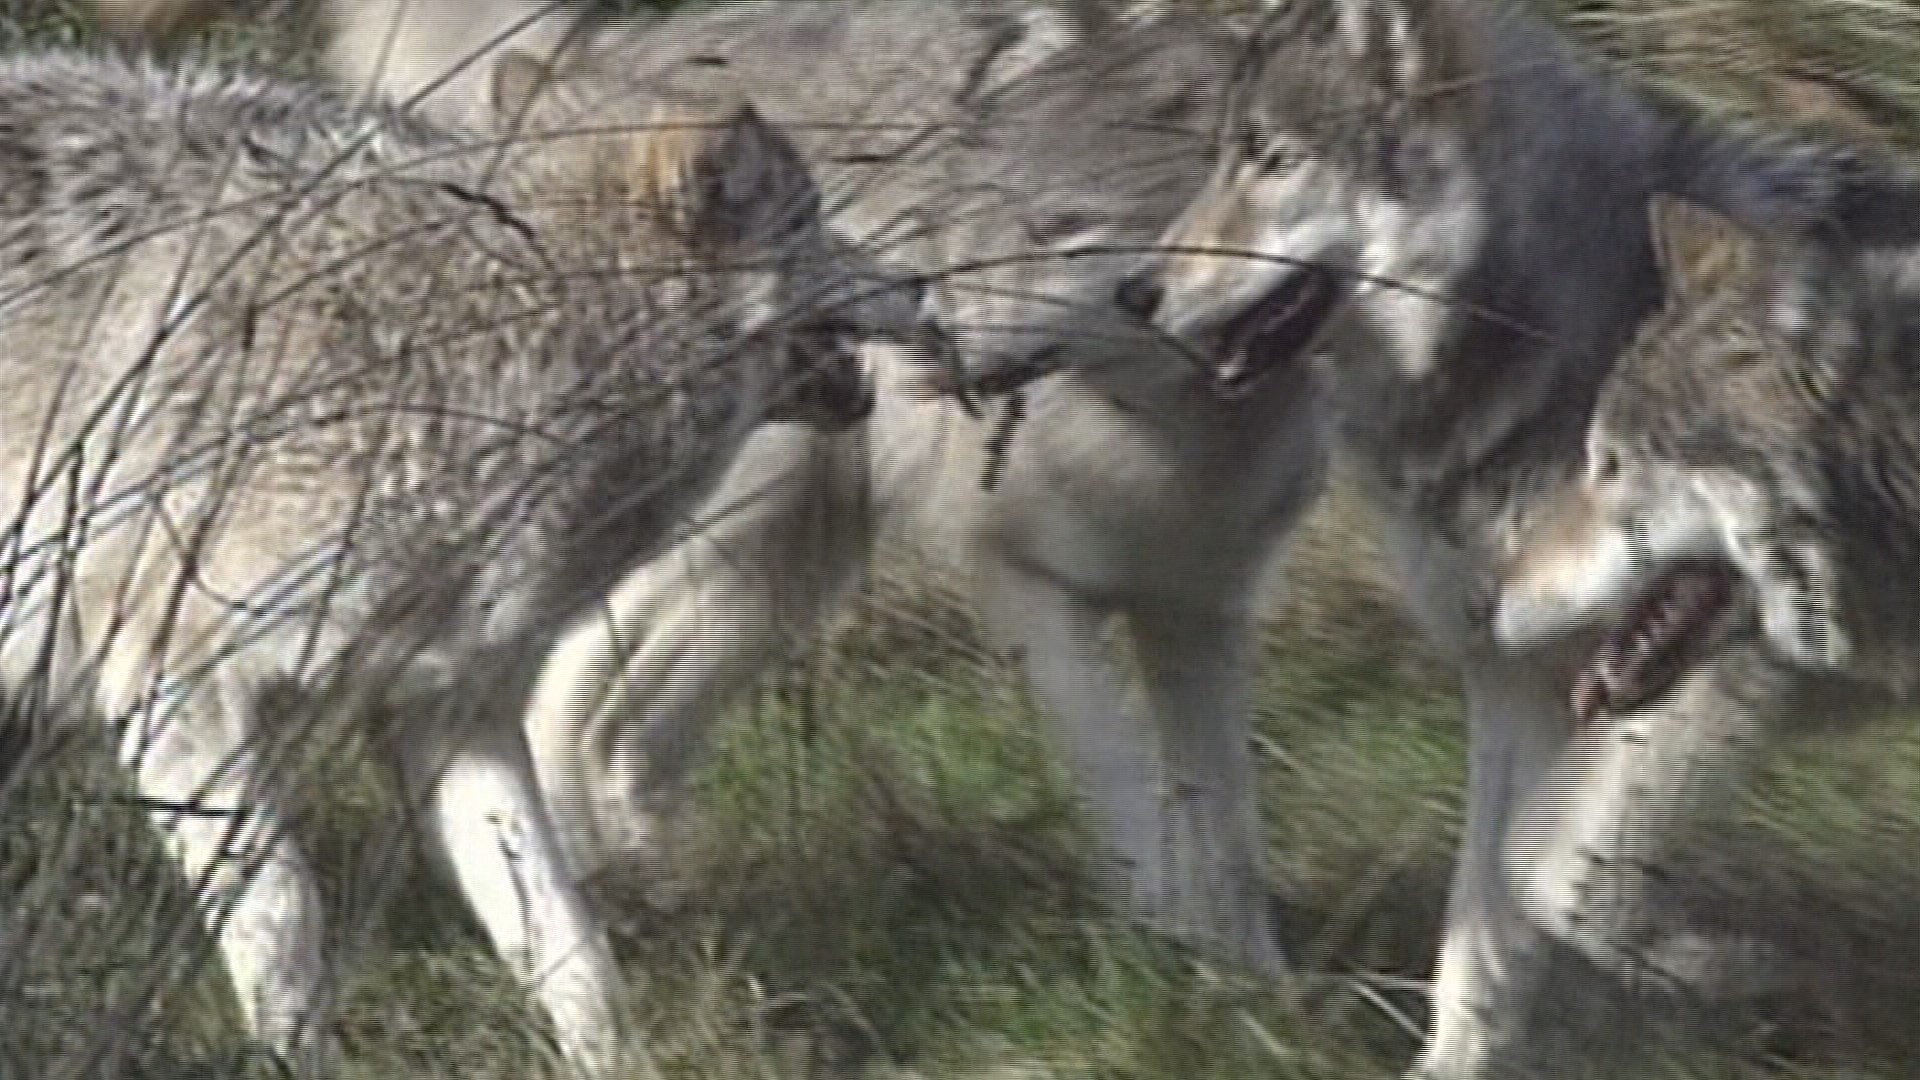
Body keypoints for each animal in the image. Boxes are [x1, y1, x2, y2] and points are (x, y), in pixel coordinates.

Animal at [0, 47, 945, 1074]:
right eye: (812, 220)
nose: (925, 284)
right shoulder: (176, 692)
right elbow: (284, 928)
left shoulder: (452, 715)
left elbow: (569, 945)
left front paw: (614, 1062)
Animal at [1120, 0, 1877, 1074]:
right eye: (1222, 157)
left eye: (1275, 160)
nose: (1134, 294)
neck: (1567, 323)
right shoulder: (1511, 679)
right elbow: (1485, 922)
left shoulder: (1715, 659)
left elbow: (1558, 880)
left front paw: (1714, 963)